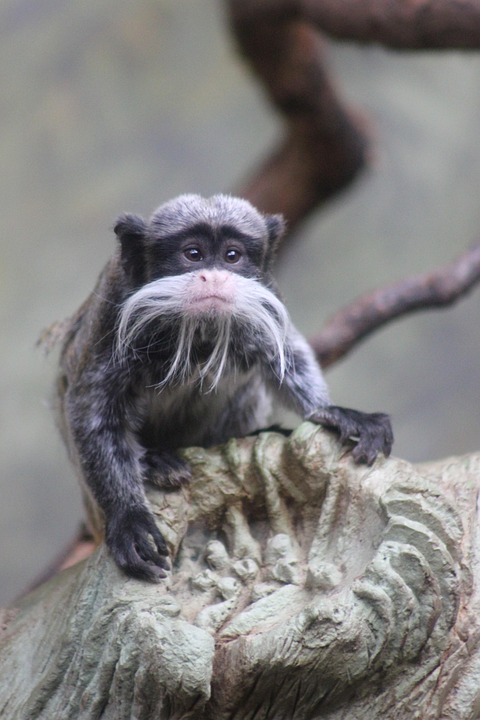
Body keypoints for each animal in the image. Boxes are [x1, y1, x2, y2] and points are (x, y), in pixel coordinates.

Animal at [55, 194, 393, 582]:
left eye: (232, 255)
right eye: (193, 253)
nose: (214, 276)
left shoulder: (266, 299)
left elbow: (287, 354)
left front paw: (333, 413)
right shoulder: (112, 314)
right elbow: (92, 410)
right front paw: (127, 516)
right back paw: (157, 461)